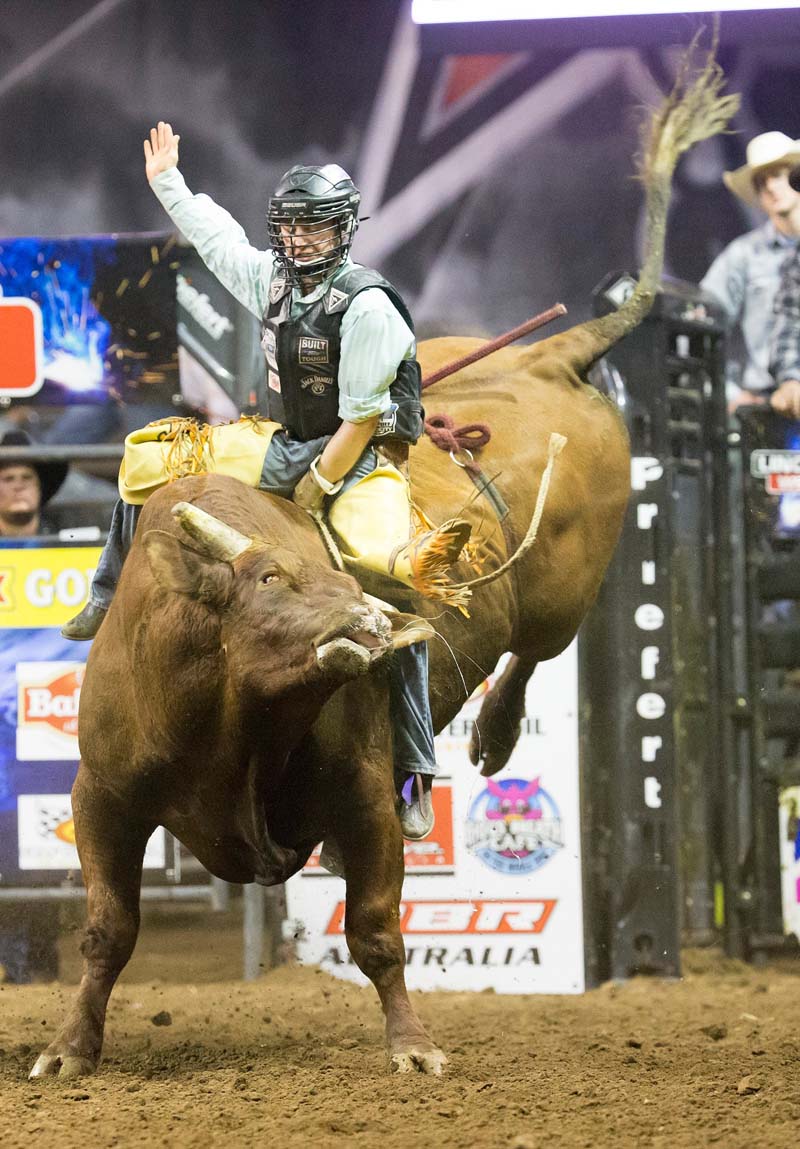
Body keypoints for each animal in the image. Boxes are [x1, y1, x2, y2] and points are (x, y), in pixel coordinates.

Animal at [31, 50, 736, 1079]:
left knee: (535, 648)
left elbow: (374, 929)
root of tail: (549, 360)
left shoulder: (363, 795)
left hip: (570, 589)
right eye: (273, 581)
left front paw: (413, 1047)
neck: (228, 706)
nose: (380, 624)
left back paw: (494, 737)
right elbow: (107, 931)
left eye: (339, 577)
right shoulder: (103, 797)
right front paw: (69, 1049)